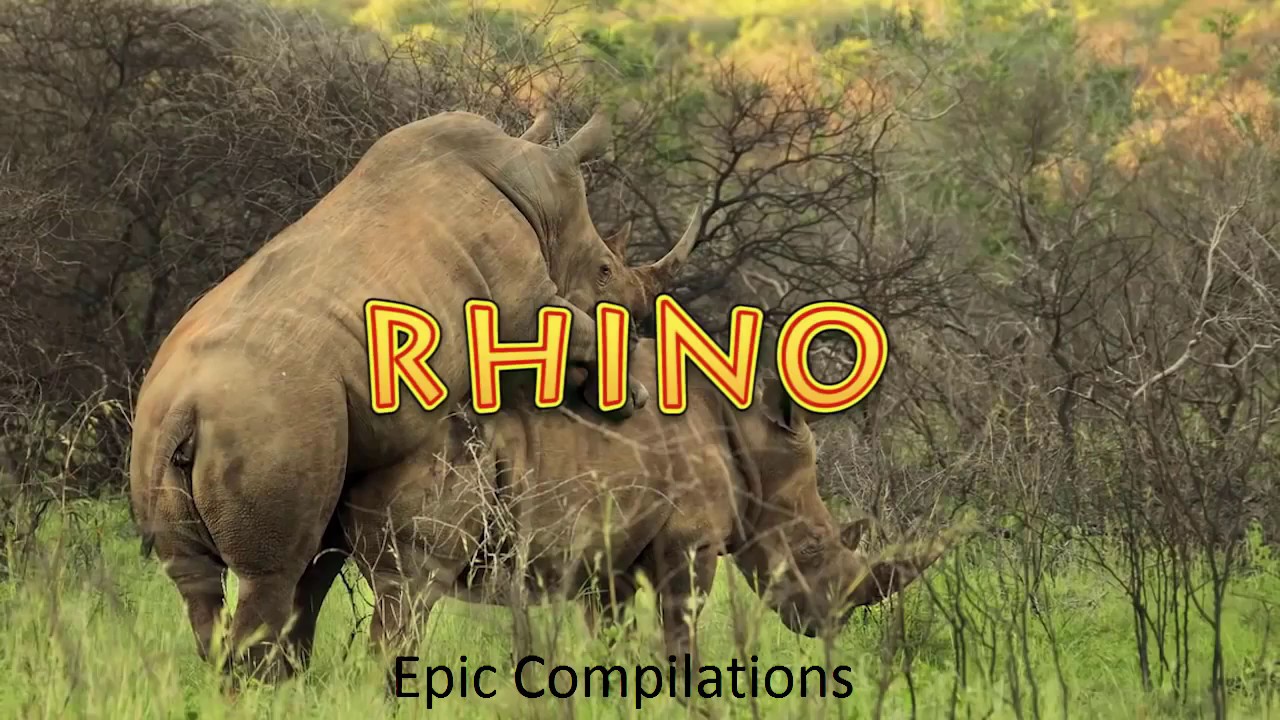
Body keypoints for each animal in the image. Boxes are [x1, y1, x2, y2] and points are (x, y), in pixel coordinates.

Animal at [128, 110, 702, 682]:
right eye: (604, 271)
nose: (636, 327)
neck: (535, 186)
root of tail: (184, 411)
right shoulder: (524, 306)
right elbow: (574, 329)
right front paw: (631, 398)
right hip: (271, 422)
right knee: (273, 573)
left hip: (165, 427)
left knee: (200, 579)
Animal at [339, 338, 951, 665]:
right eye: (811, 547)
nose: (828, 626)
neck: (756, 451)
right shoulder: (689, 543)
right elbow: (682, 634)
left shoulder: (607, 556)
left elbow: (613, 638)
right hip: (446, 455)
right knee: (411, 593)